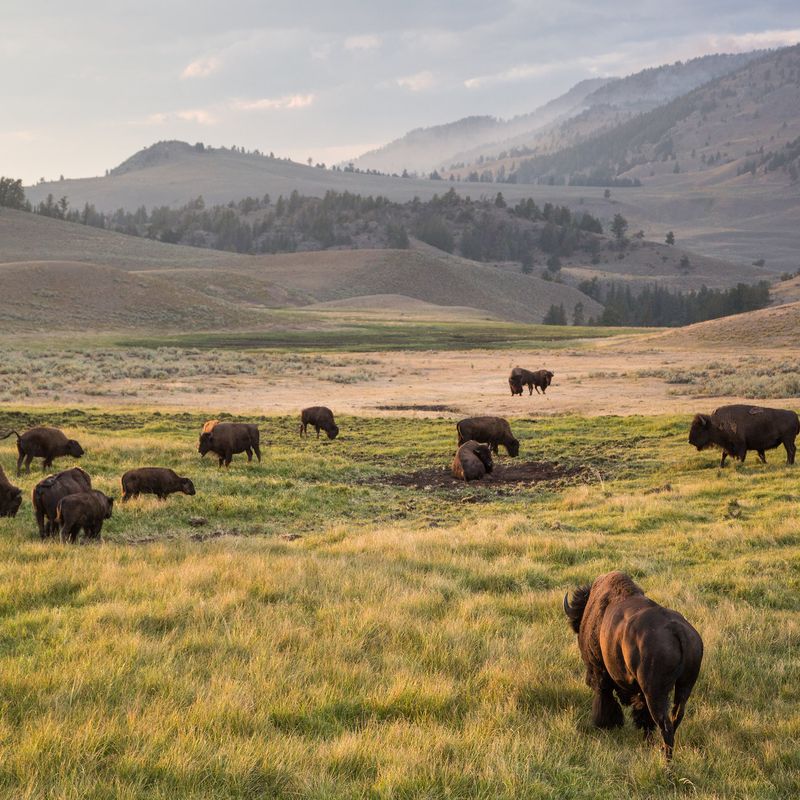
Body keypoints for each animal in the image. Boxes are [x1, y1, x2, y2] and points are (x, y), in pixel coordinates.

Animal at [564, 571, 703, 760]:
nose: (587, 679)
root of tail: (678, 631)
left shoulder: (601, 674)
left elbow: (605, 698)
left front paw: (604, 724)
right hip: (684, 686)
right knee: (675, 717)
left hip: (655, 693)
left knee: (664, 723)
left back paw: (666, 759)